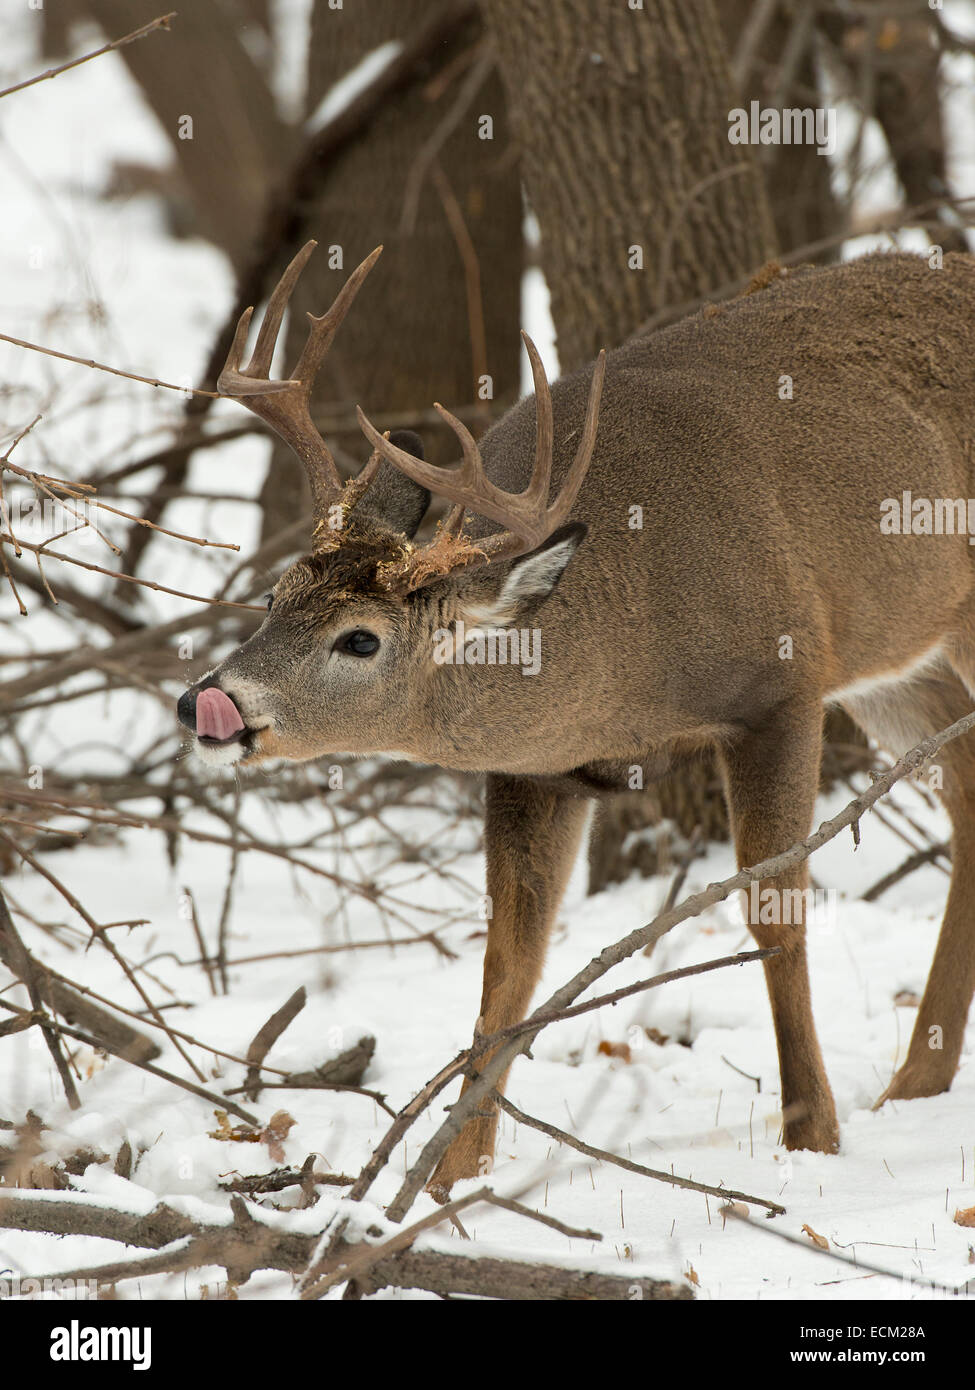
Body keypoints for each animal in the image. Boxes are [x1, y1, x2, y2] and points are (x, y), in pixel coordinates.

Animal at [177, 239, 975, 1198]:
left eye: (359, 640)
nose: (209, 703)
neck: (623, 673)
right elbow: (509, 963)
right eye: (274, 595)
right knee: (967, 785)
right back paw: (916, 1080)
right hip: (897, 649)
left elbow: (774, 917)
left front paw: (811, 1137)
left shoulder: (782, 685)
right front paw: (449, 1182)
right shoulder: (537, 769)